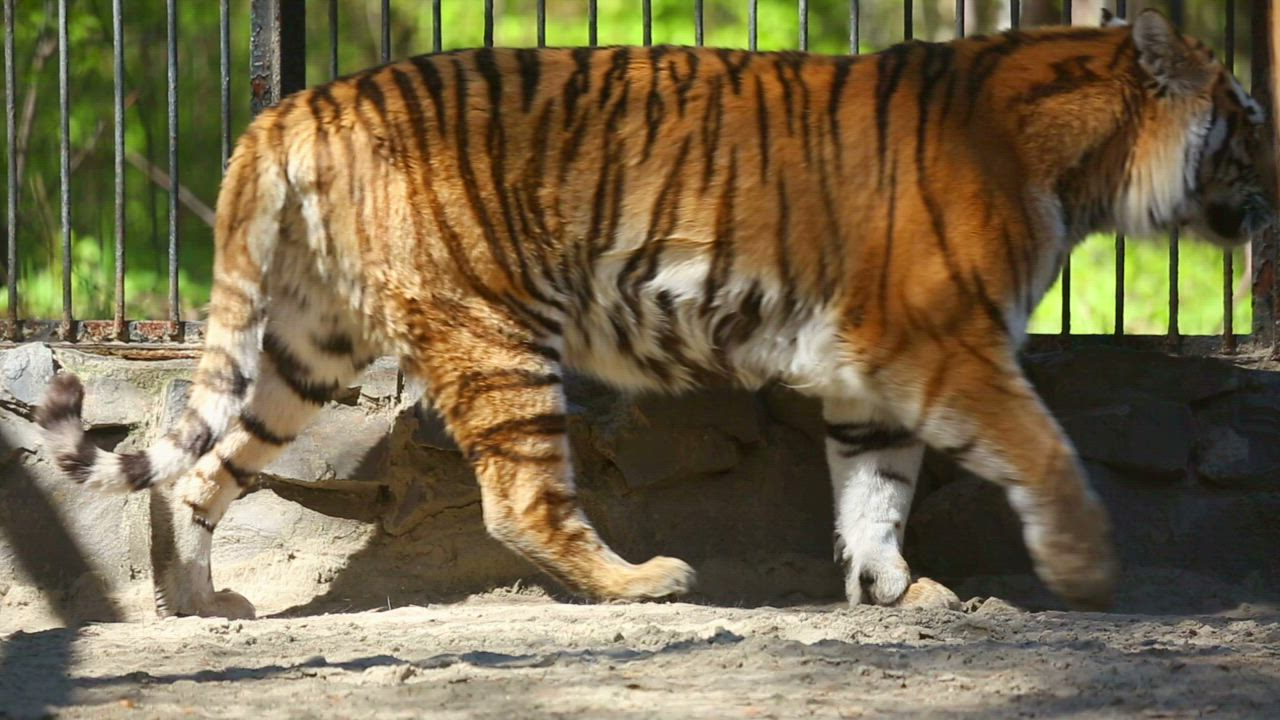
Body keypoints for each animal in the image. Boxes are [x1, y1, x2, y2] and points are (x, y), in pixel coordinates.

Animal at [36, 8, 1274, 620]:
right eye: (1243, 118)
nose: (1270, 189)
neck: (1079, 164)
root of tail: (295, 101)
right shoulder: (939, 338)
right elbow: (1043, 448)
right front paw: (1083, 573)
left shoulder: (869, 369)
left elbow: (875, 489)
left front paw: (895, 592)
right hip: (496, 329)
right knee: (518, 503)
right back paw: (643, 582)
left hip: (310, 344)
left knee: (204, 470)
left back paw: (204, 608)